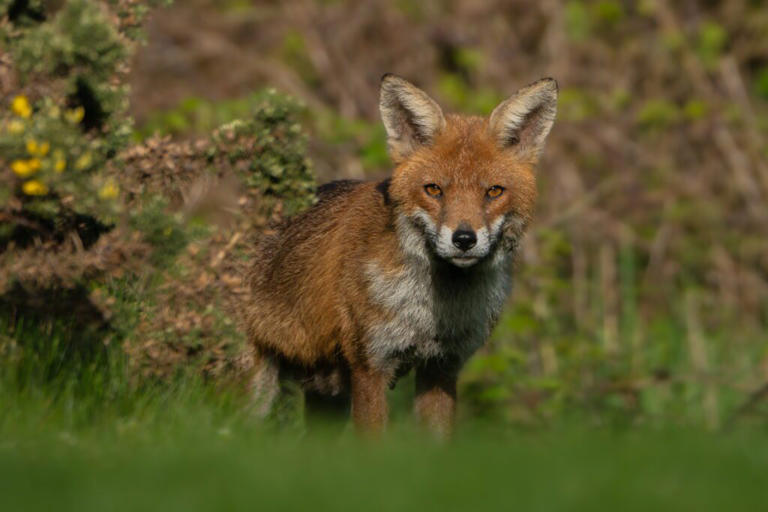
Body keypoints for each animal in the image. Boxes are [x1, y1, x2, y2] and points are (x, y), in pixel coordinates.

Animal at [245, 73, 558, 437]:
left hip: (326, 398)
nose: (464, 239)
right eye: (434, 189)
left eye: (494, 191)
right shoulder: (371, 365)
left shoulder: (442, 367)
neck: (431, 313)